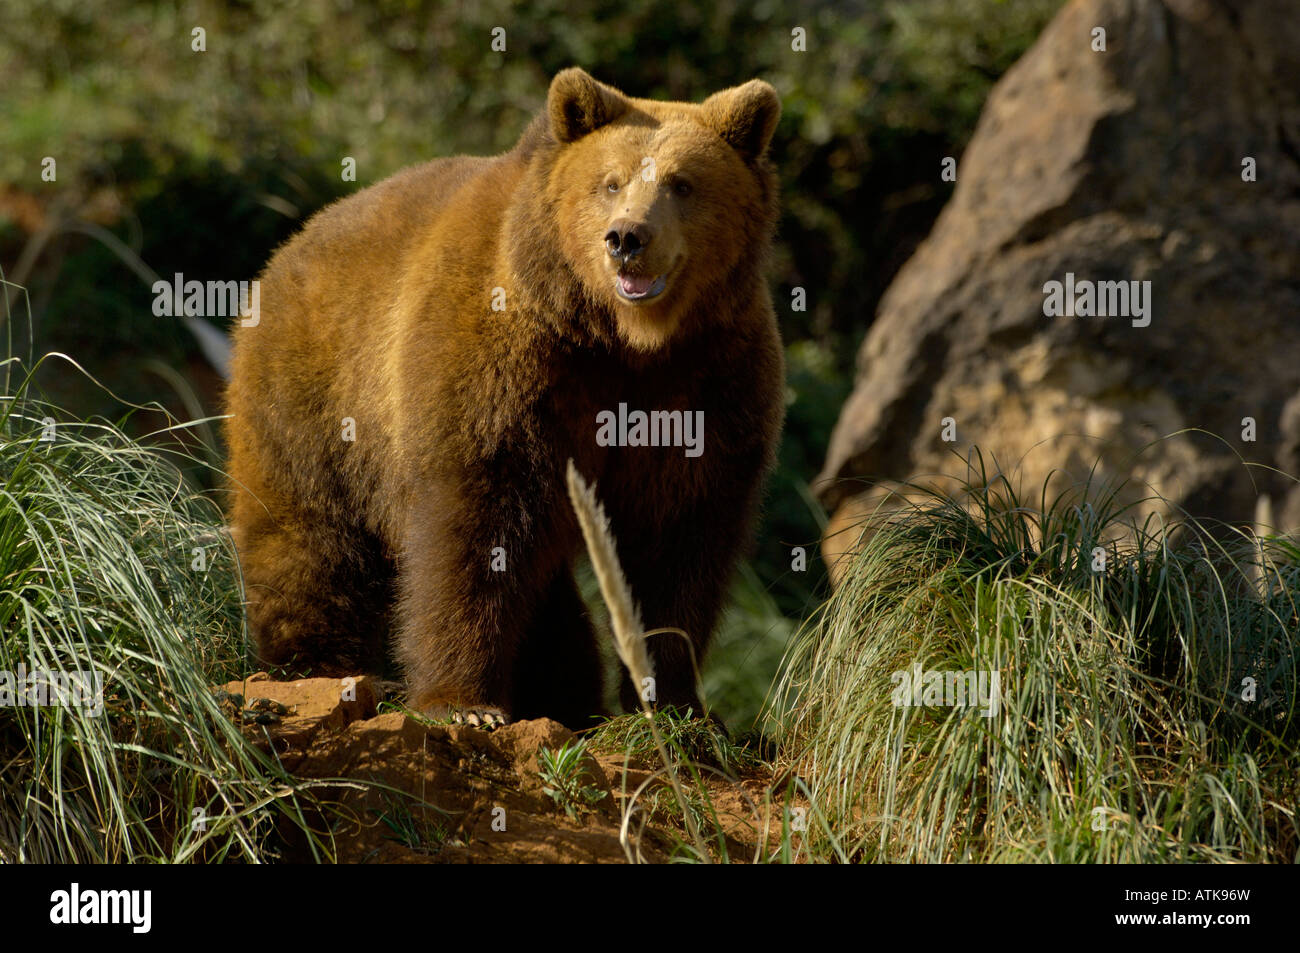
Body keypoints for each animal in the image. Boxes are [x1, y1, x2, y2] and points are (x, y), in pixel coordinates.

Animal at [223, 68, 785, 729]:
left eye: (682, 183)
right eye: (610, 181)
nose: (627, 238)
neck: (623, 340)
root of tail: (291, 244)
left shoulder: (709, 376)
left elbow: (678, 539)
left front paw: (676, 701)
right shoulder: (509, 367)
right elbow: (475, 519)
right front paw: (464, 704)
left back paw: (563, 694)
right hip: (316, 400)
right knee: (310, 540)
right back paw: (315, 665)